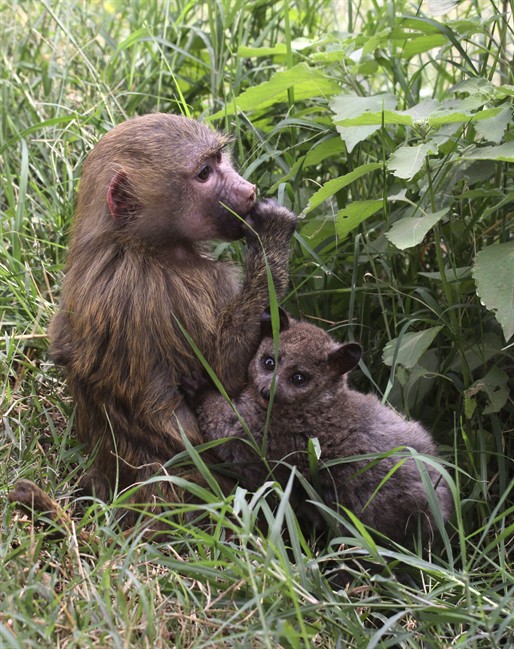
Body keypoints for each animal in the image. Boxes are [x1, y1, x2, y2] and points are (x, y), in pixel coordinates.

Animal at [47, 113, 297, 525]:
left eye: (219, 159)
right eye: (204, 173)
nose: (248, 192)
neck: (131, 242)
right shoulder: (187, 289)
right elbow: (224, 373)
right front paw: (271, 234)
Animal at [183, 309, 454, 548]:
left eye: (299, 378)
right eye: (268, 362)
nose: (266, 391)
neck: (316, 404)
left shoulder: (263, 436)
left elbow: (227, 432)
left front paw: (199, 387)